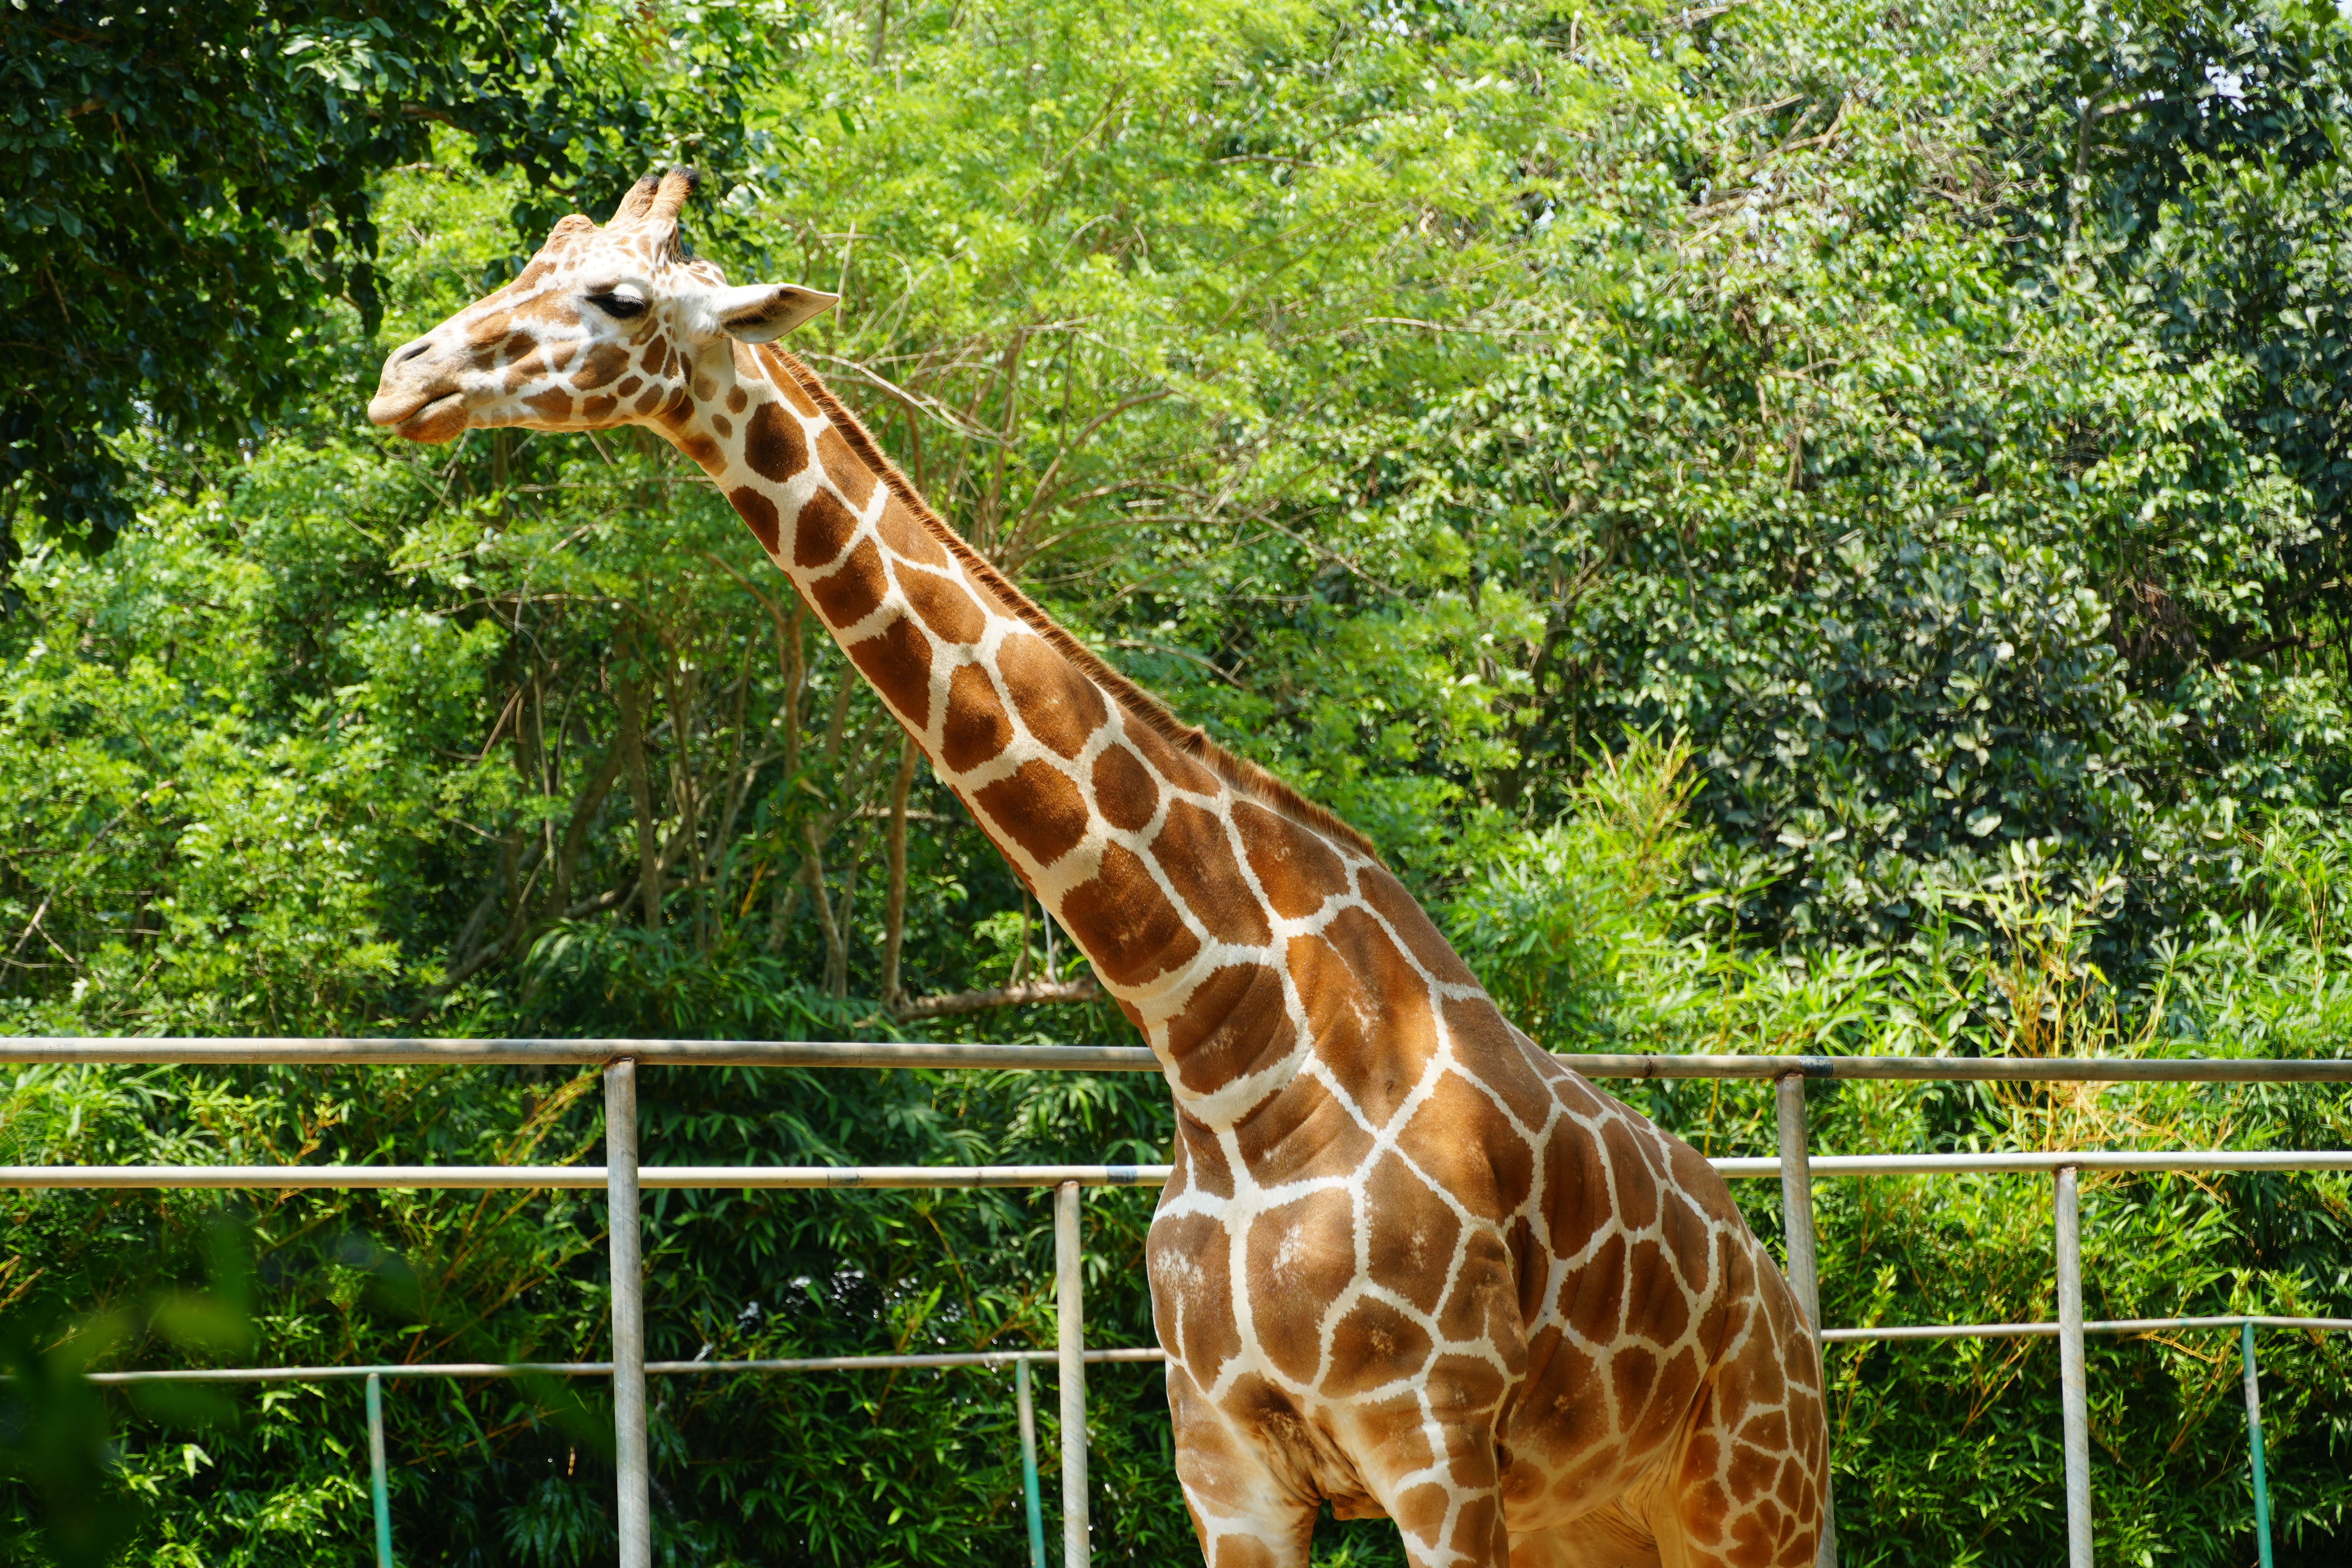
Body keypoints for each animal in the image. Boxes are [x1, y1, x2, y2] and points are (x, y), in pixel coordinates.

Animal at [368, 169, 1828, 1568]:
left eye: (617, 297)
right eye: (538, 255)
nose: (403, 375)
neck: (1229, 1056)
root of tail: (1780, 1302)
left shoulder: (1432, 1448)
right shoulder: (1226, 1465)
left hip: (1752, 1502)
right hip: (1584, 1523)